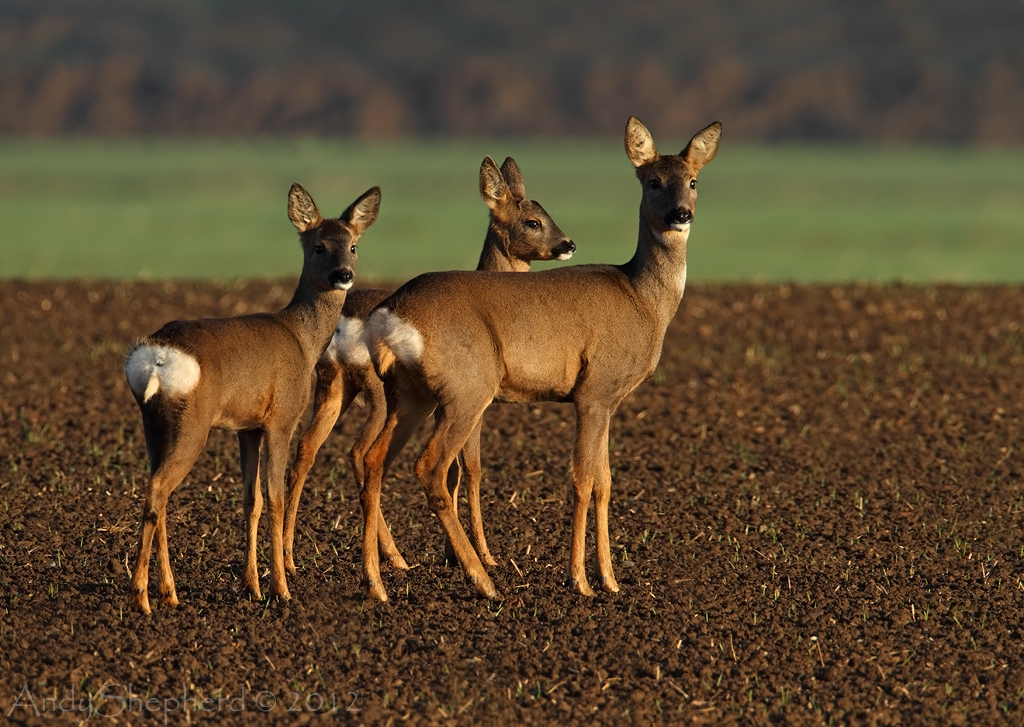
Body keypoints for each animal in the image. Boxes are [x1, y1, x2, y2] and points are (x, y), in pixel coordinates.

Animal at [124, 182, 381, 614]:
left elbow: (251, 500)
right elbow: (275, 497)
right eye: (319, 246)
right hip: (192, 424)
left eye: (354, 245)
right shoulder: (281, 419)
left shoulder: (248, 428)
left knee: (159, 494)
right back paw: (142, 597)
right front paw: (281, 588)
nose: (343, 275)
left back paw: (170, 593)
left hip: (153, 425)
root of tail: (155, 358)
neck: (302, 337)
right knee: (157, 491)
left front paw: (252, 586)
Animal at [281, 156, 575, 575]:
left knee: (306, 451)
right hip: (379, 393)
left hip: (334, 385)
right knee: (359, 453)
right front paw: (484, 555)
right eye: (533, 221)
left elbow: (452, 472)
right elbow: (471, 468)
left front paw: (454, 553)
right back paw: (393, 557)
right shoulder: (471, 403)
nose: (568, 244)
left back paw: (291, 558)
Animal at [359, 117, 721, 601]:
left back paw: (378, 583)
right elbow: (583, 480)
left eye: (693, 181)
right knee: (431, 468)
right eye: (653, 181)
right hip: (466, 387)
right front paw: (581, 581)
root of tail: (391, 312)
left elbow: (606, 483)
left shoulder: (609, 401)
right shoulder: (593, 390)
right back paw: (484, 580)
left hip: (411, 394)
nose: (680, 215)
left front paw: (611, 580)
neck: (642, 299)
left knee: (374, 460)